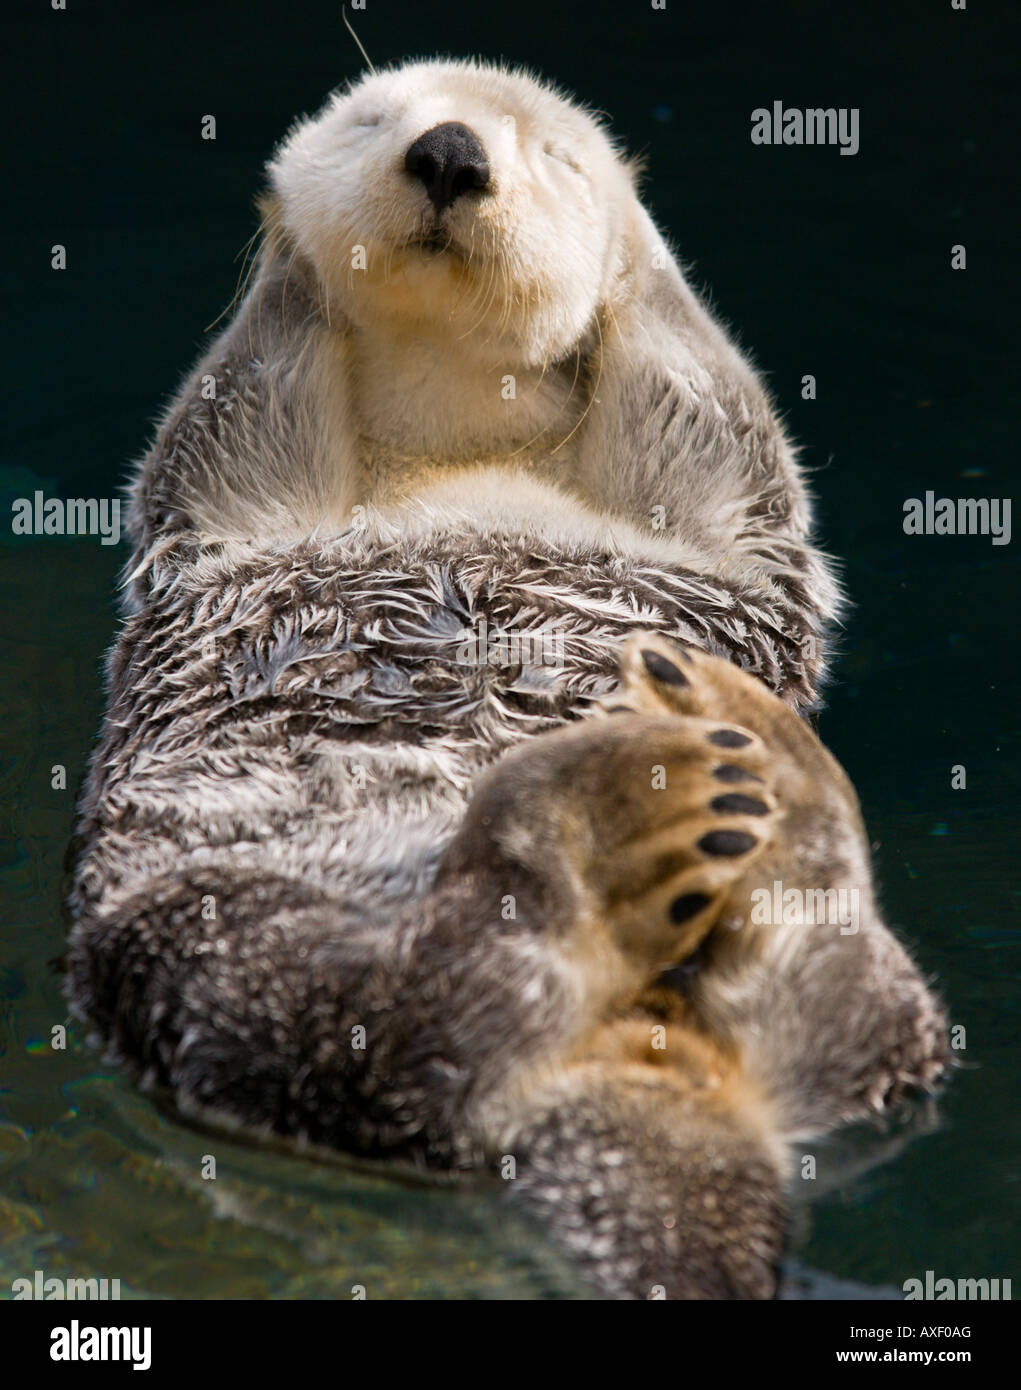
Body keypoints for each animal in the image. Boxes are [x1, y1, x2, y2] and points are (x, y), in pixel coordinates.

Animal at [66, 59, 947, 1299]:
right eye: (374, 119)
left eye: (553, 157)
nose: (449, 152)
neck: (457, 431)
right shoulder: (220, 496)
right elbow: (246, 398)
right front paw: (295, 259)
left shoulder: (725, 514)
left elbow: (706, 405)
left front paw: (634, 252)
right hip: (214, 947)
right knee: (421, 1009)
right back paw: (605, 827)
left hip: (884, 1032)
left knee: (844, 1011)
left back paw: (773, 788)